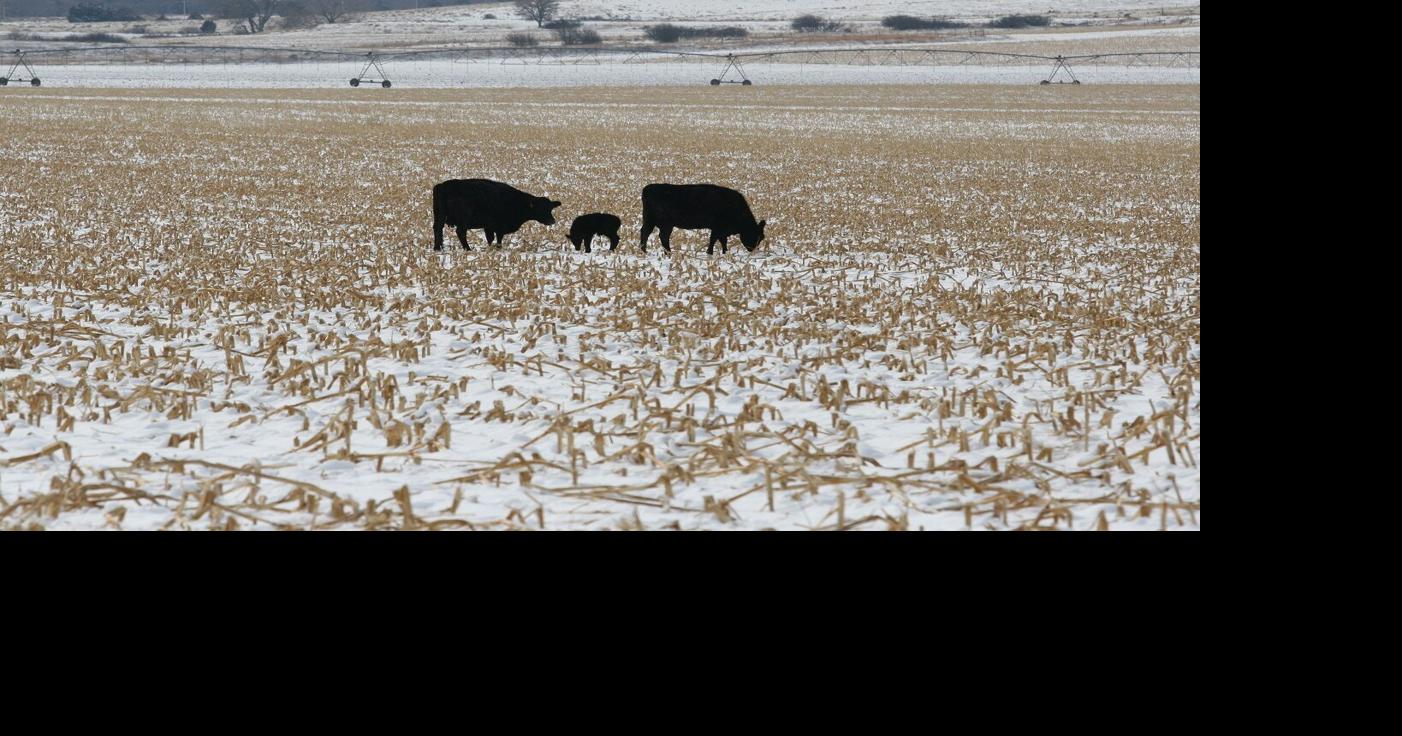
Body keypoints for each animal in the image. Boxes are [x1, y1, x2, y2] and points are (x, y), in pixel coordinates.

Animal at [432, 178, 561, 251]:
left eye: (550, 208)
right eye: (541, 209)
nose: (552, 221)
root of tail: (443, 186)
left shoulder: (488, 226)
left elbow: (490, 238)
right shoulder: (499, 226)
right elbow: (498, 238)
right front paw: (498, 248)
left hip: (439, 216)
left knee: (437, 229)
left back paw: (437, 248)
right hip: (463, 220)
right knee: (460, 232)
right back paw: (467, 249)